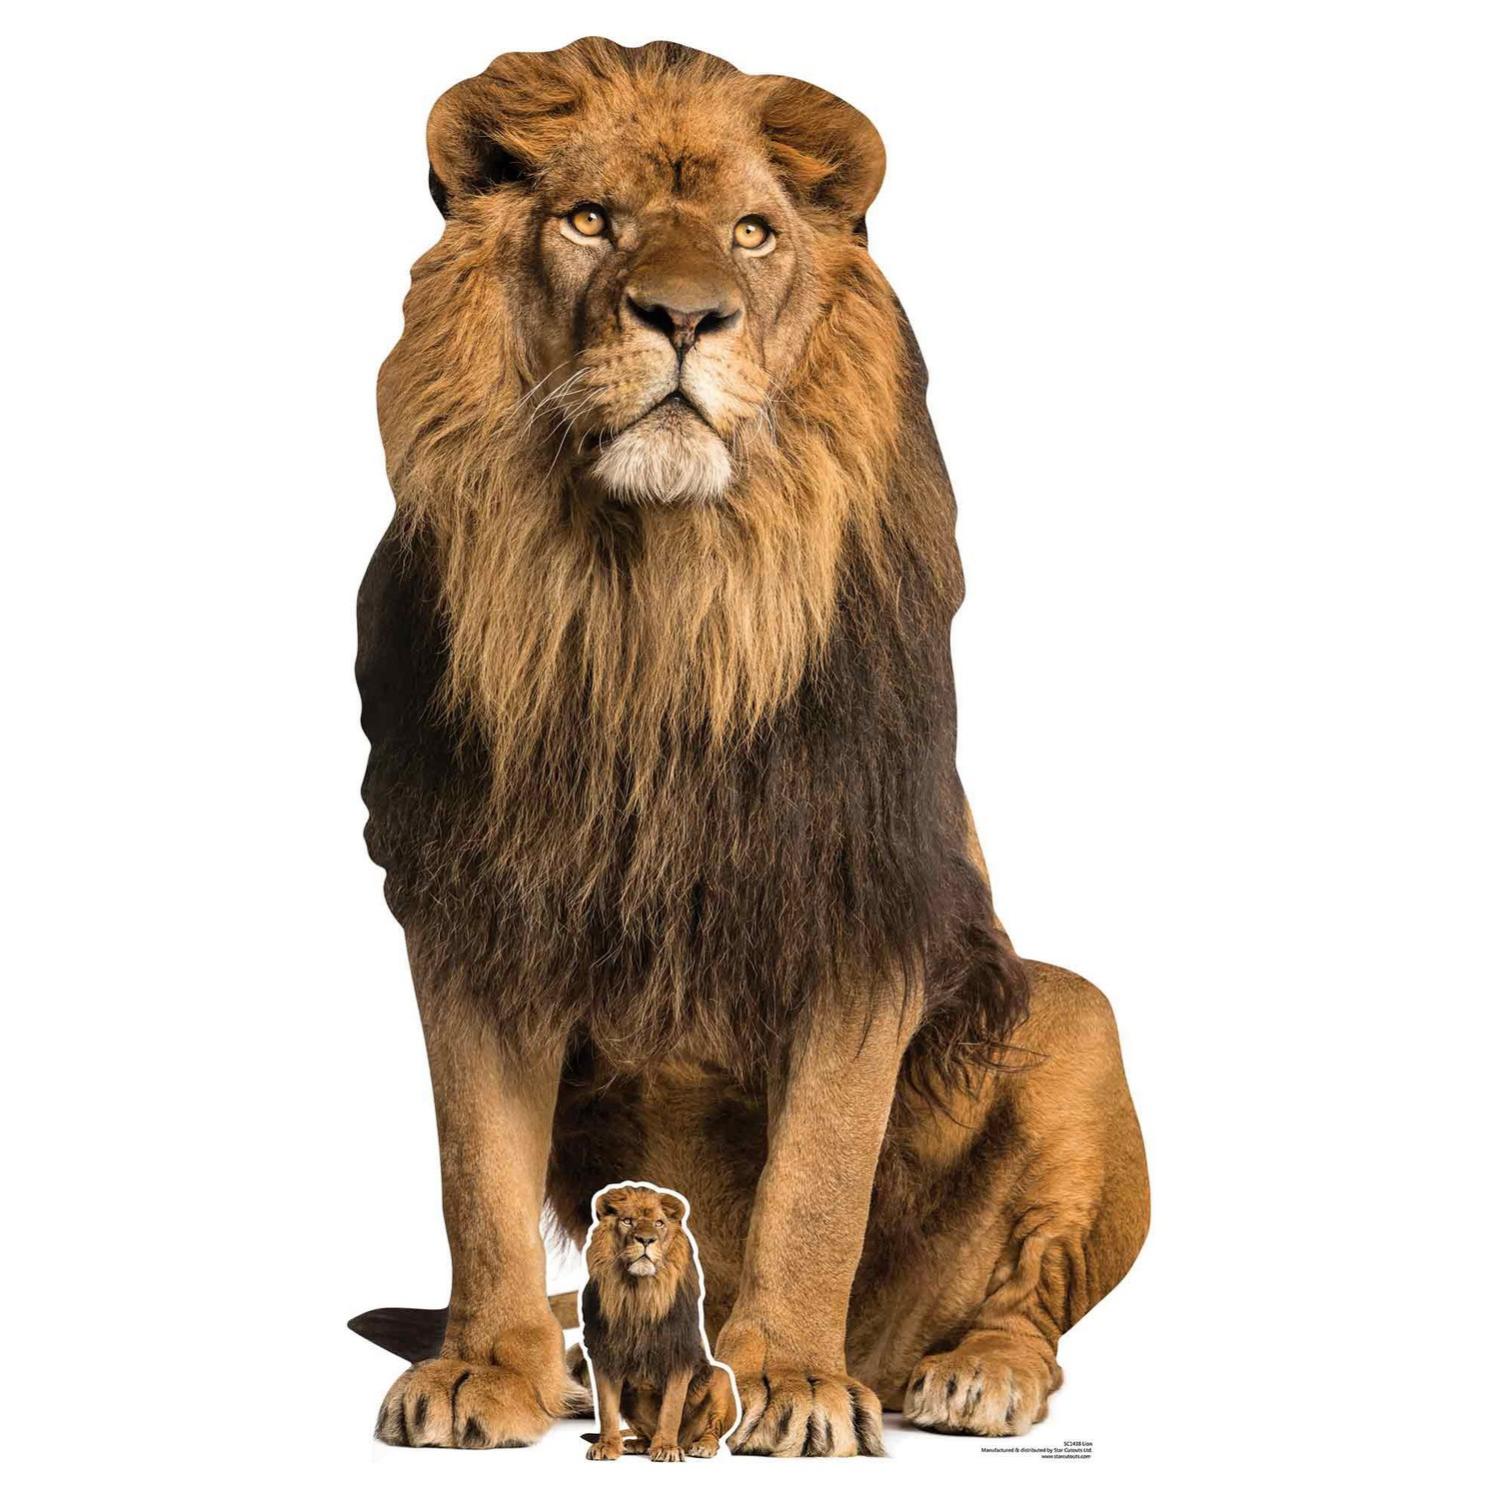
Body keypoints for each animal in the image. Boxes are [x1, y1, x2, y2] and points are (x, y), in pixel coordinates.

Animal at [576, 1184, 738, 1461]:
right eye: (627, 1221)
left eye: (659, 1223)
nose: (646, 1240)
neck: (638, 1295)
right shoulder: (605, 1355)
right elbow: (606, 1409)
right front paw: (607, 1446)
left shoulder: (679, 1354)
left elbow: (671, 1409)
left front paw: (666, 1449)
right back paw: (637, 1444)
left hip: (721, 1377)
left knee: (713, 1431)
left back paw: (699, 1446)